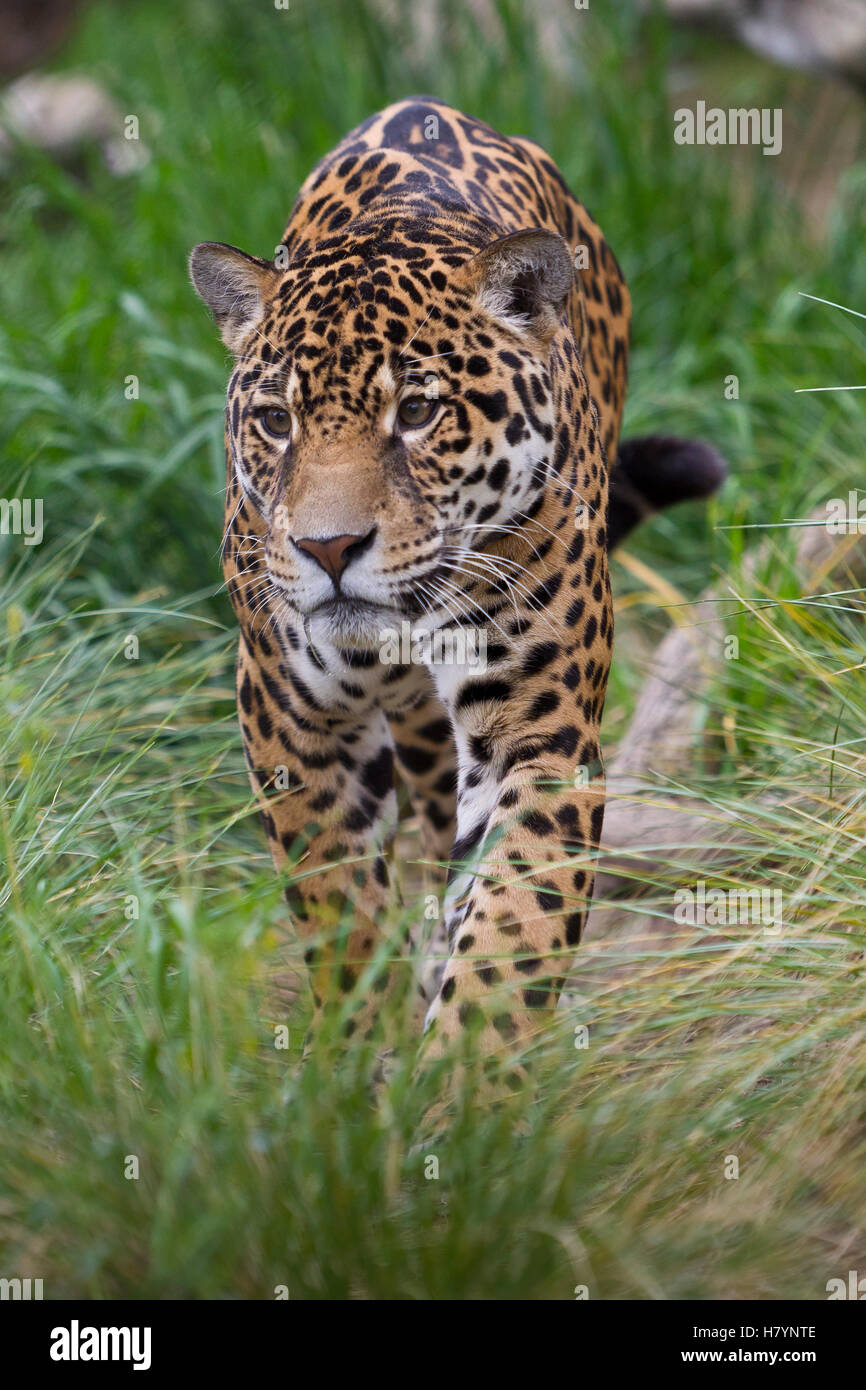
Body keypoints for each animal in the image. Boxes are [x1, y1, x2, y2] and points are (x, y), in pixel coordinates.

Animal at [190, 96, 725, 1058]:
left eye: (416, 412)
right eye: (278, 421)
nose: (330, 549)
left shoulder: (537, 736)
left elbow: (512, 931)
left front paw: (463, 1081)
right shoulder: (290, 720)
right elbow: (342, 918)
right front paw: (359, 1064)